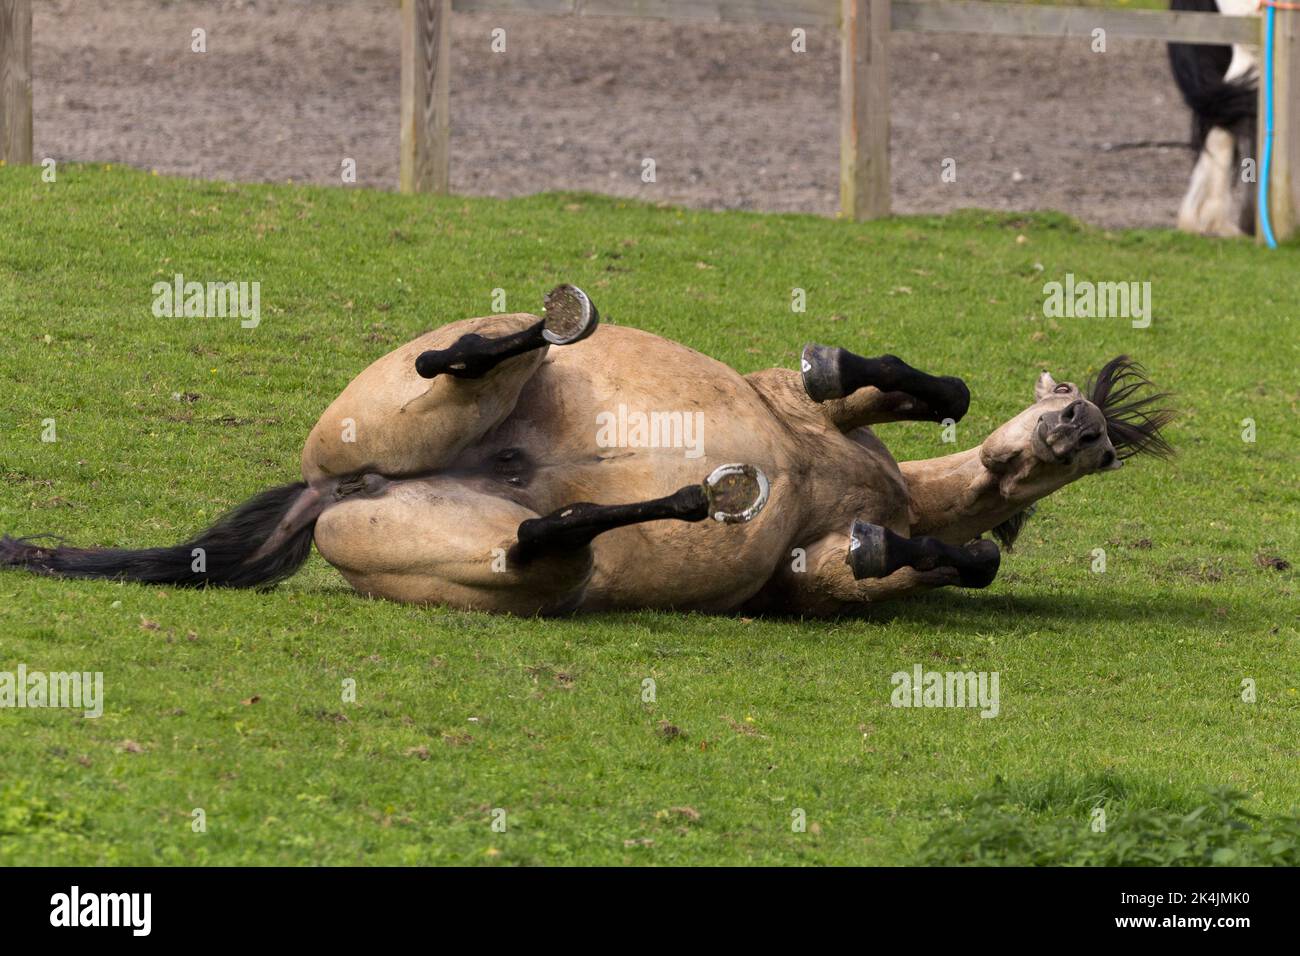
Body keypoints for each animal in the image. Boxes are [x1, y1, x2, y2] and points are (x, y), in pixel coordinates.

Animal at [0, 286, 1174, 617]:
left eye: (1103, 454)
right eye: (1069, 399)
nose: (1075, 429)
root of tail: (337, 486)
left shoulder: (818, 573)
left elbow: (901, 558)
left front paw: (949, 551)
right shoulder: (796, 400)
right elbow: (892, 379)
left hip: (479, 552)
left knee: (544, 536)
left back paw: (700, 497)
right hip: (422, 396)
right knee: (463, 354)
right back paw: (564, 324)